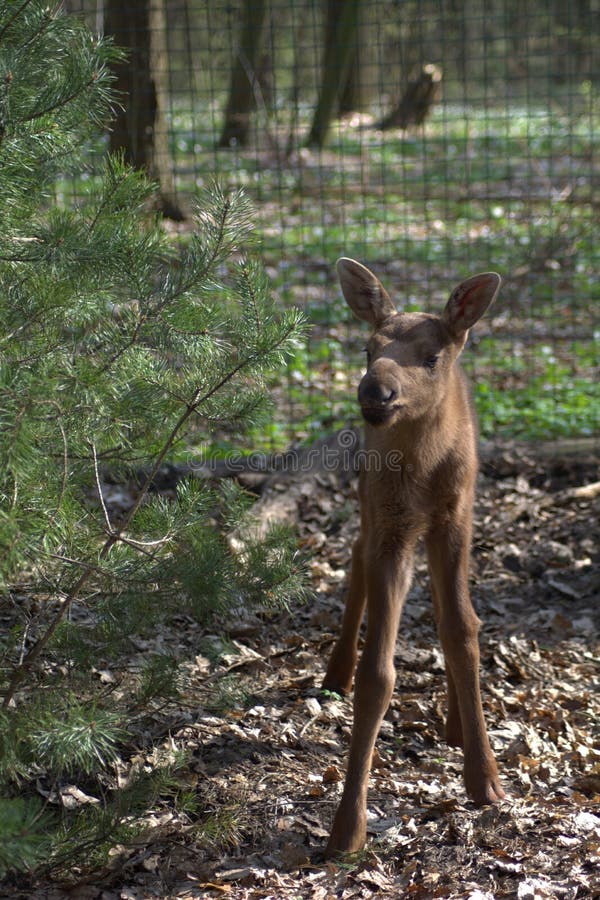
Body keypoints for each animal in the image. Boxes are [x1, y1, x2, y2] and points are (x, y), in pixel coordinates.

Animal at [323, 258, 506, 856]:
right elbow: (379, 673)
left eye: (431, 357)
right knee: (354, 555)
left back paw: (455, 723)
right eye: (367, 348)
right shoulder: (390, 528)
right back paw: (336, 671)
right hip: (368, 502)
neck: (423, 470)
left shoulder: (454, 520)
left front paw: (485, 777)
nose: (375, 391)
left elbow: (463, 628)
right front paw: (347, 826)